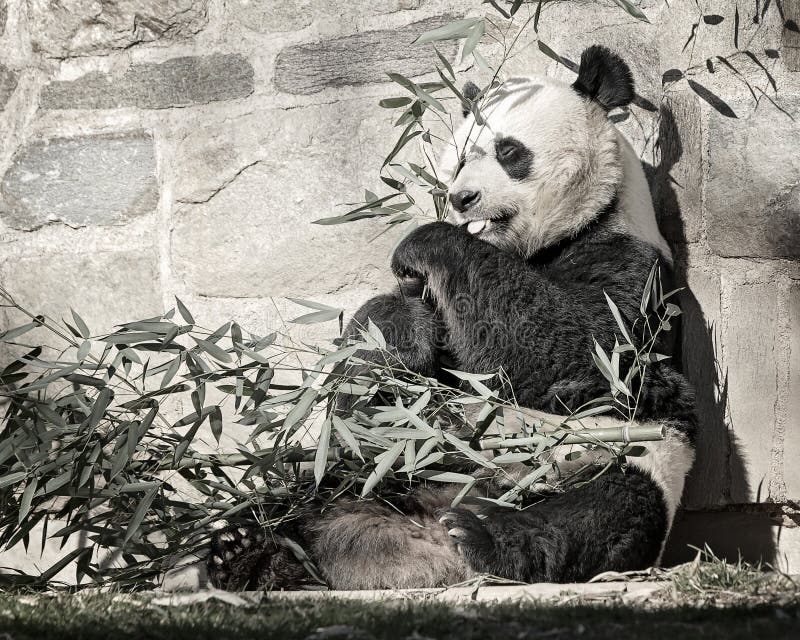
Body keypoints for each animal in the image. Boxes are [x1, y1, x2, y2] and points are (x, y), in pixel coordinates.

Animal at [207, 45, 697, 590]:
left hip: (613, 456)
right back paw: (253, 551)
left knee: (600, 508)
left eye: (509, 151)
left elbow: (582, 350)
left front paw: (425, 241)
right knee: (319, 491)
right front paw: (398, 331)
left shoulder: (632, 268)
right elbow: (379, 377)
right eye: (461, 157)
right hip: (375, 470)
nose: (462, 199)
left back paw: (484, 537)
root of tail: (430, 534)